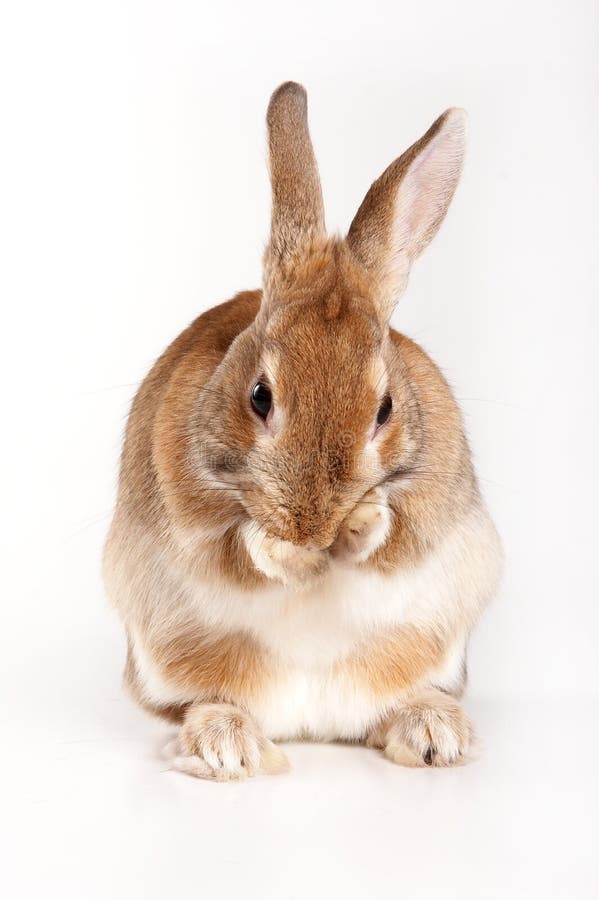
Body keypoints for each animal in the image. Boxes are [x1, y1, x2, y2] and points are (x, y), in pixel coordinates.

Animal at [103, 81, 502, 780]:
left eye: (385, 409)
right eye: (259, 397)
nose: (311, 523)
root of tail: (314, 723)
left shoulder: (435, 505)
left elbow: (397, 535)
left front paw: (360, 524)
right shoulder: (188, 514)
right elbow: (238, 547)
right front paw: (296, 555)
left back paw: (432, 732)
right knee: (198, 704)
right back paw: (227, 746)